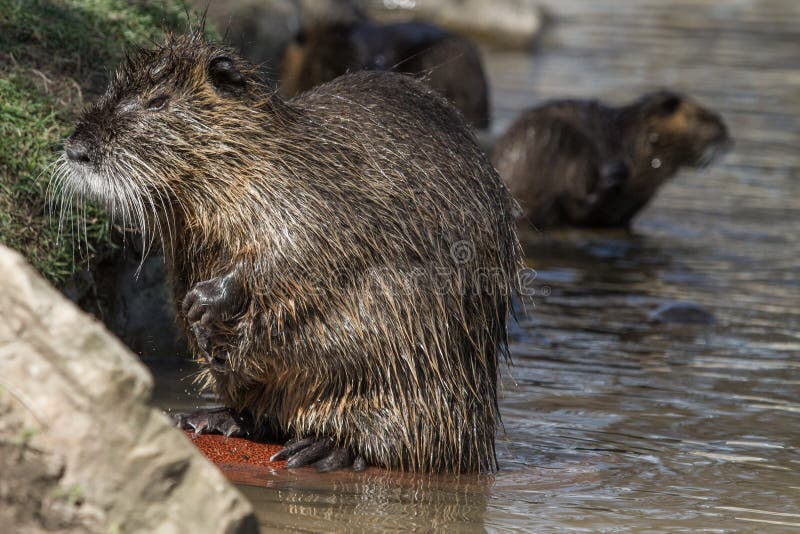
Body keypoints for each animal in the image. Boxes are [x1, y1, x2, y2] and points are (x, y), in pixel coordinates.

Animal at [56, 31, 521, 473]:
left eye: (158, 101)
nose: (77, 149)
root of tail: (480, 451)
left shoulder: (317, 197)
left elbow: (300, 254)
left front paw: (205, 302)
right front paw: (204, 330)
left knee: (402, 442)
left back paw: (324, 447)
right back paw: (211, 418)